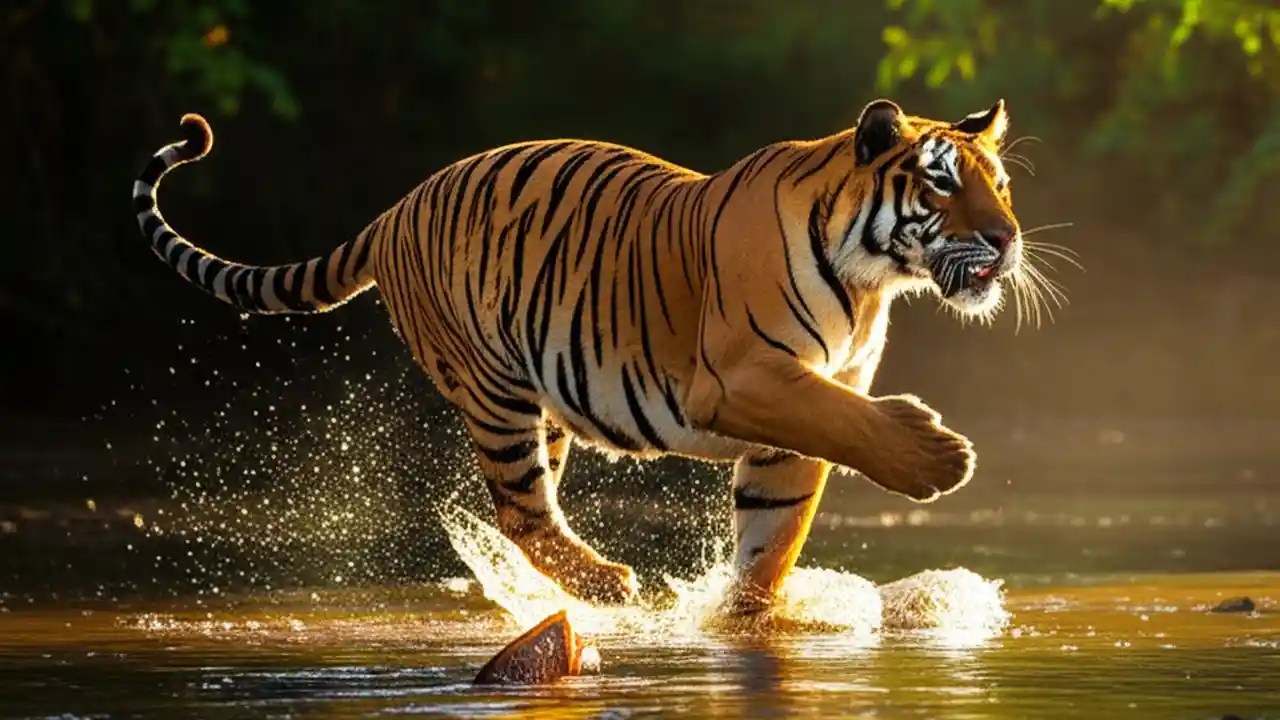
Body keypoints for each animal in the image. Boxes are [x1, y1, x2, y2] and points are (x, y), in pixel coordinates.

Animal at [133, 98, 1025, 610]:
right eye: (942, 183)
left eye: (1002, 184)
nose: (1007, 238)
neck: (873, 279)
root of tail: (397, 206)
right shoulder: (742, 376)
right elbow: (849, 421)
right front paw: (938, 458)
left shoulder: (802, 407)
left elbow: (774, 537)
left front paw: (747, 619)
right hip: (494, 393)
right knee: (518, 510)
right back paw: (608, 583)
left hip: (548, 401)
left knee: (530, 514)